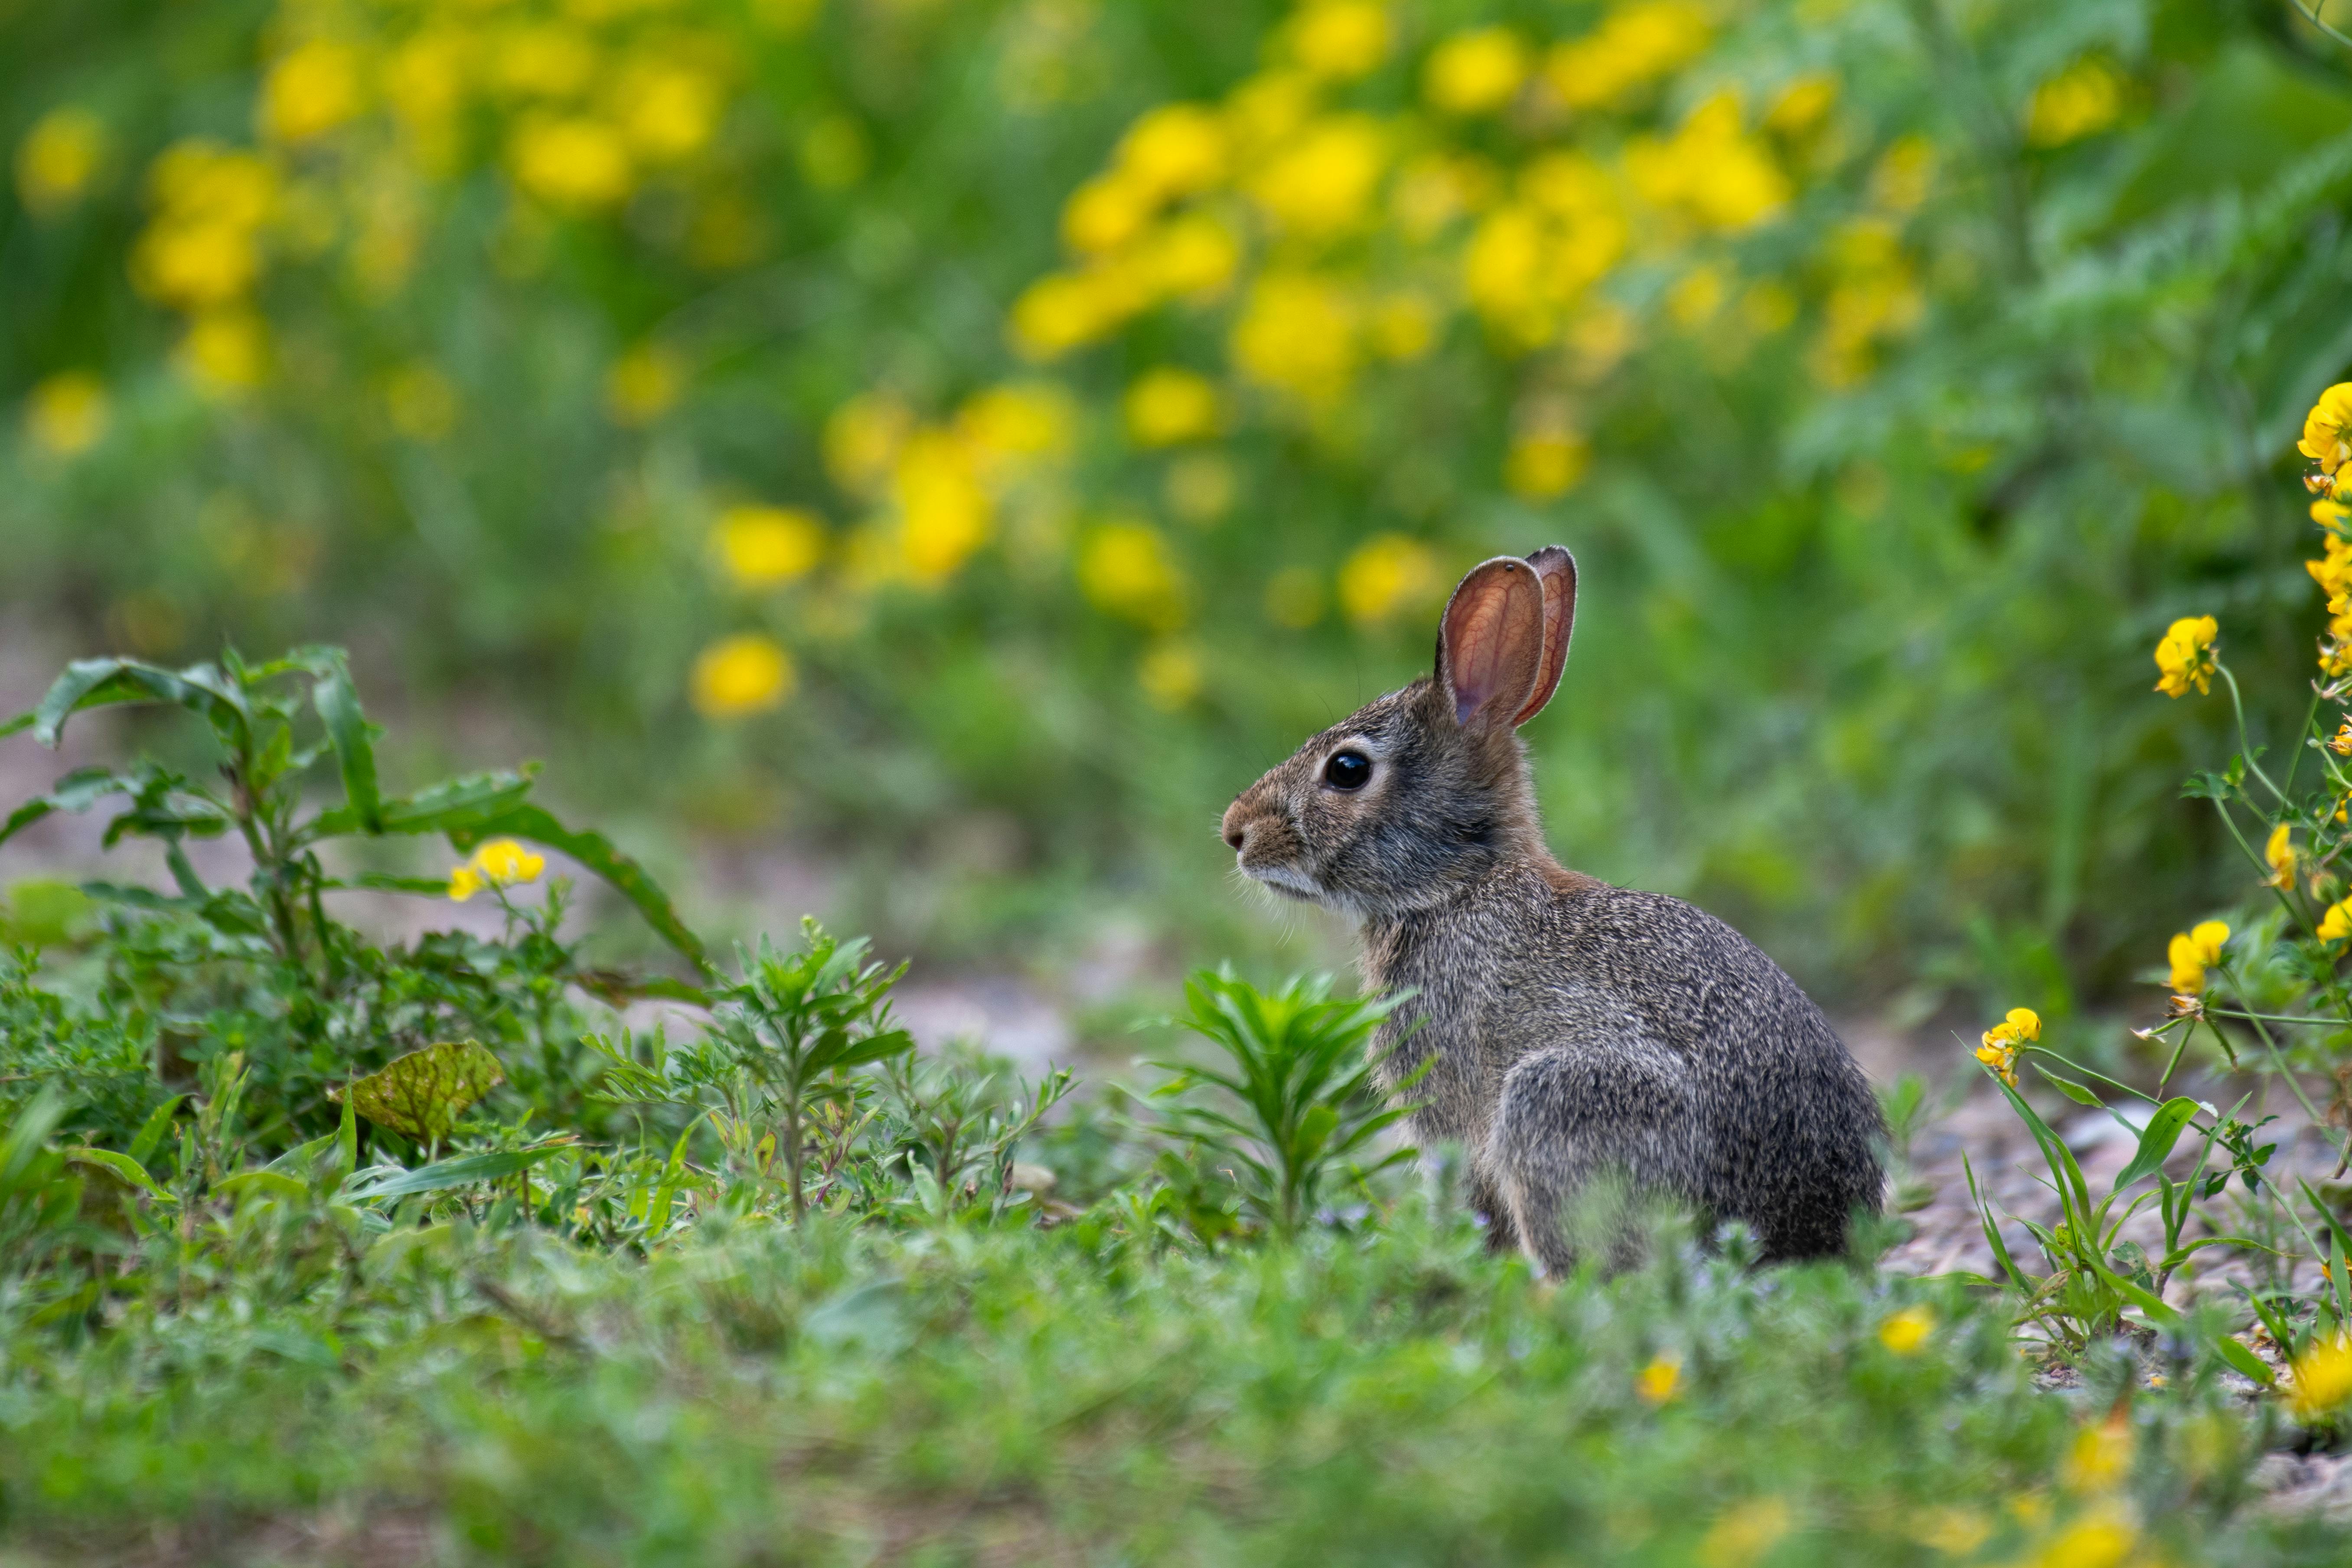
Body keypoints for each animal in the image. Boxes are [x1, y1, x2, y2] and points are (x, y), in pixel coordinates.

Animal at [1219, 546, 1884, 1270]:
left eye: (1346, 770)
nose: (1235, 830)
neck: (1457, 886)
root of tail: (1799, 1238)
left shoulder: (1451, 1108)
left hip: (1559, 1103)